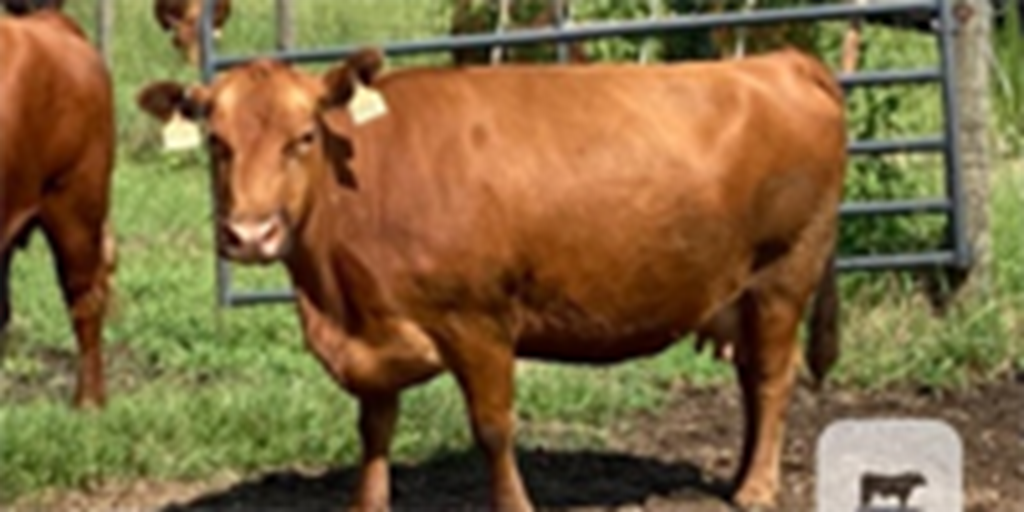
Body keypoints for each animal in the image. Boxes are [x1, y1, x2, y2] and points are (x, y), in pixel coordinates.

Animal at [137, 45, 845, 510]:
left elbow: (494, 429)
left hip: (785, 272)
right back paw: (739, 477)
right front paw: (369, 504)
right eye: (217, 142)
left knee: (772, 378)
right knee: (751, 376)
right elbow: (374, 430)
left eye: (303, 136)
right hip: (745, 290)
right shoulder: (371, 332)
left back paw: (757, 489)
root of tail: (779, 60)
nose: (249, 234)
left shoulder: (478, 323)